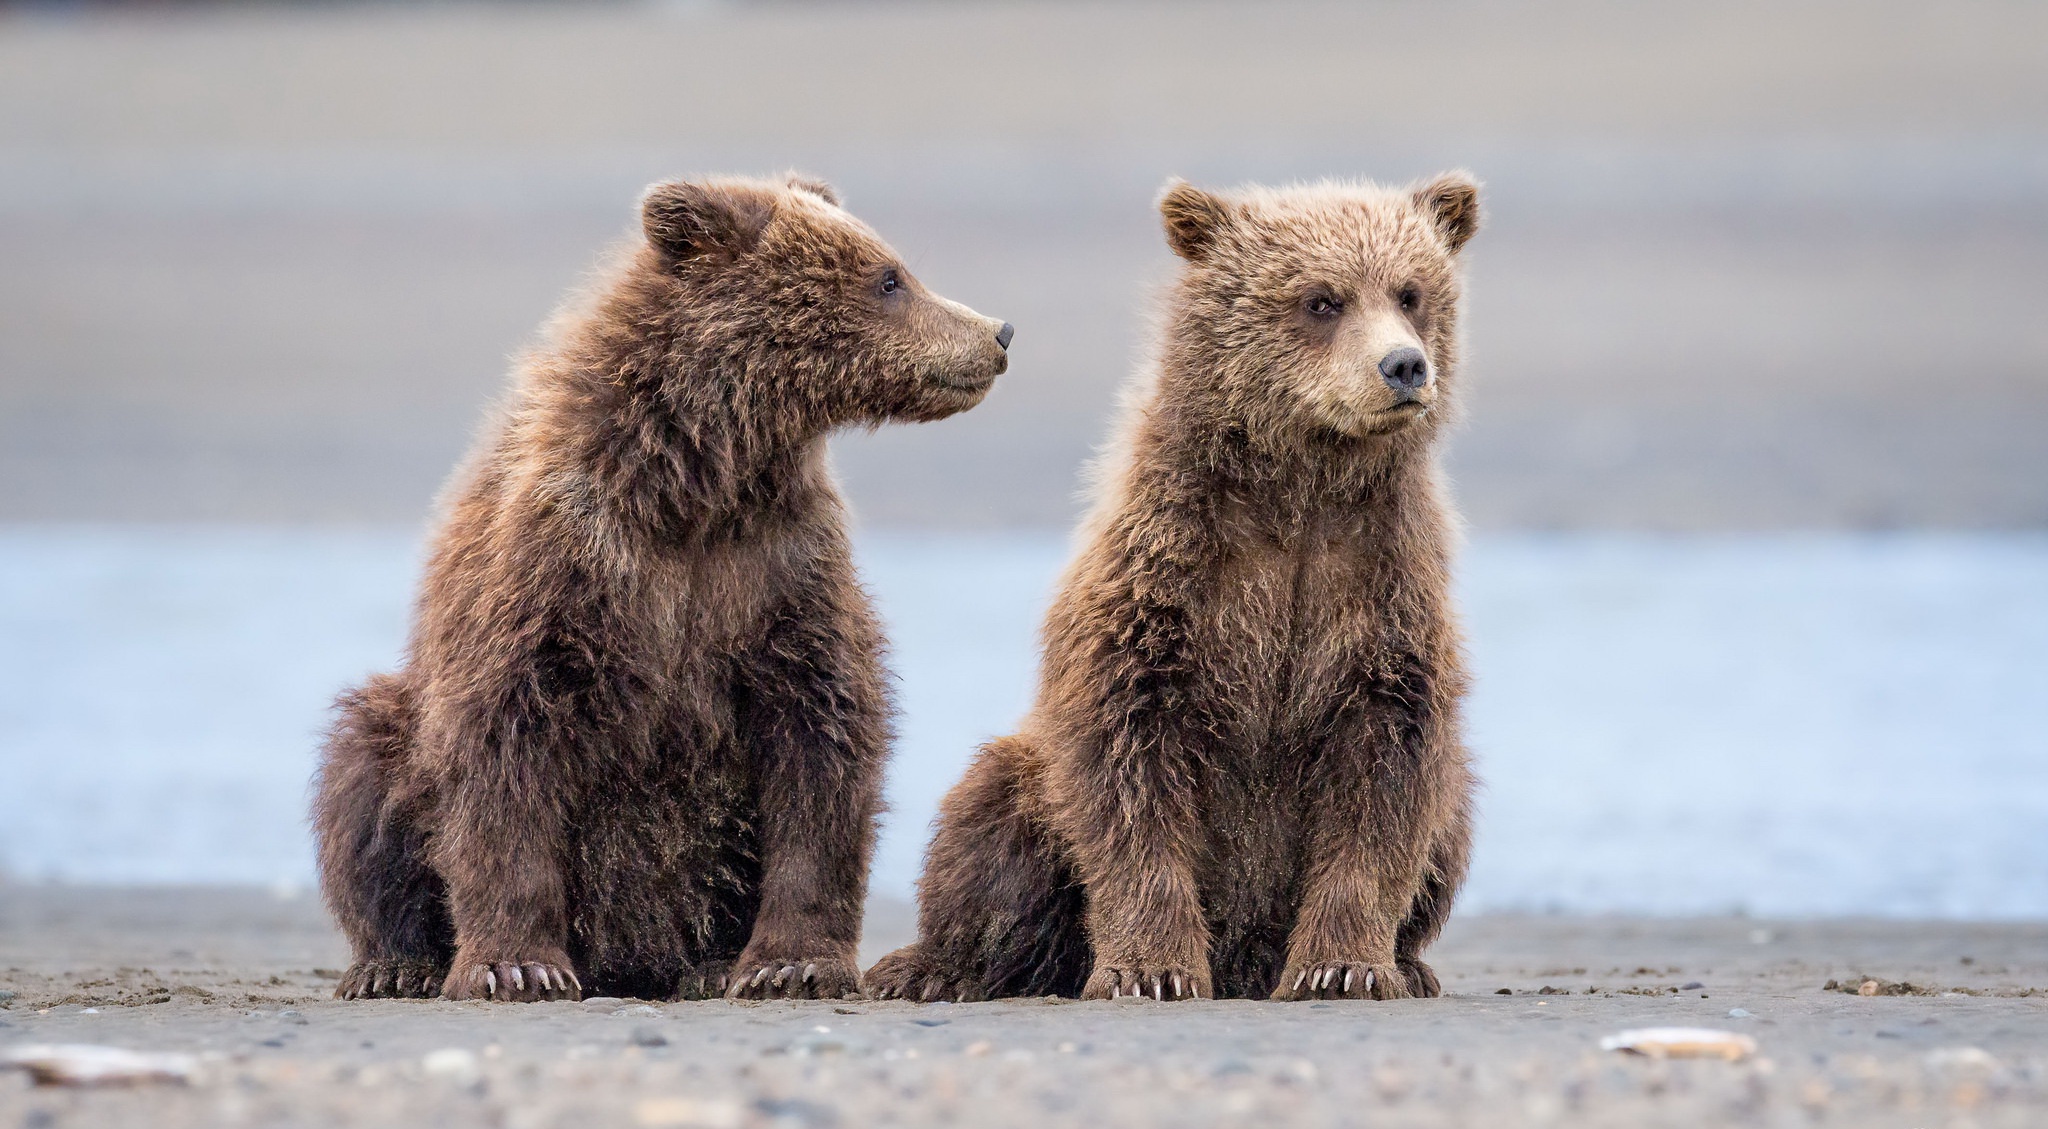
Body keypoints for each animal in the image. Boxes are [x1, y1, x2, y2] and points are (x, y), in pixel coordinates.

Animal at [313, 173, 1013, 1003]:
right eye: (890, 278)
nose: (998, 332)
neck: (694, 486)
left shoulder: (778, 567)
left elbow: (822, 734)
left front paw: (789, 961)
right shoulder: (561, 562)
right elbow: (506, 744)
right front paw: (516, 963)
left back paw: (708, 964)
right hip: (404, 724)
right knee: (366, 766)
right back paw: (394, 961)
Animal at [866, 174, 1480, 1003]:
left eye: (1411, 292)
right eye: (1322, 299)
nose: (1404, 366)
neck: (1300, 494)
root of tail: (1246, 957)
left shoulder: (1377, 588)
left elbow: (1385, 781)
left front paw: (1341, 964)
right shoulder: (1169, 583)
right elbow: (1129, 774)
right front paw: (1151, 969)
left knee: (1451, 817)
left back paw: (1412, 964)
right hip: (1027, 777)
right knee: (987, 822)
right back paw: (933, 966)